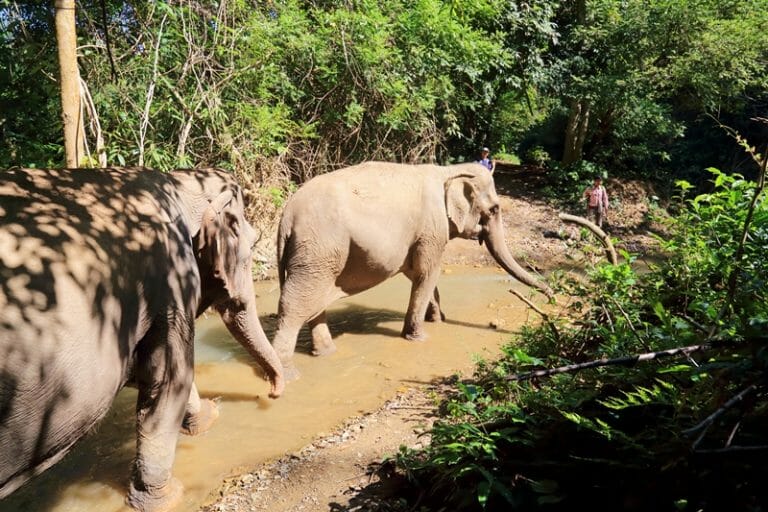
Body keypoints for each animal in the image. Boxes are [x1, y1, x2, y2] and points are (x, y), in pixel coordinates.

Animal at [0, 166, 284, 512]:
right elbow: (169, 380)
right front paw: (168, 498)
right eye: (253, 244)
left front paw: (208, 417)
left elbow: (152, 374)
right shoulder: (171, 282)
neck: (179, 183)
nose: (271, 393)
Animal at [272, 161, 552, 378]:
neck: (449, 171)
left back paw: (325, 353)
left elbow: (417, 273)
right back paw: (289, 375)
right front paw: (419, 337)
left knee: (312, 302)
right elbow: (426, 273)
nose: (551, 296)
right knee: (295, 304)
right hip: (318, 251)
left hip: (316, 255)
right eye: (494, 209)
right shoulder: (432, 229)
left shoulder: (418, 237)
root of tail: (286, 216)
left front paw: (438, 320)